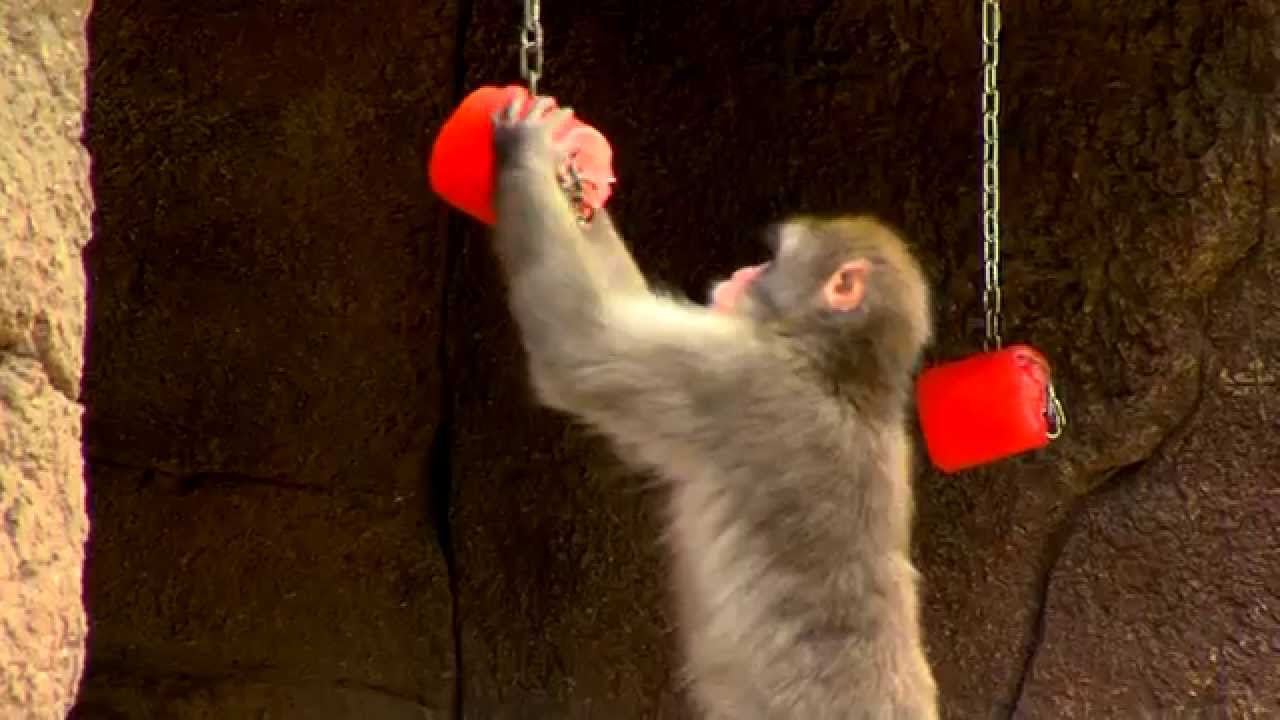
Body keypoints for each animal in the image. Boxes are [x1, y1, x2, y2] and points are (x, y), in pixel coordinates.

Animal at [486, 96, 939, 720]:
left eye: (771, 261)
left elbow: (583, 339)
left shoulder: (737, 380)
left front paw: (526, 155)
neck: (838, 373)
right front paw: (576, 177)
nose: (741, 274)